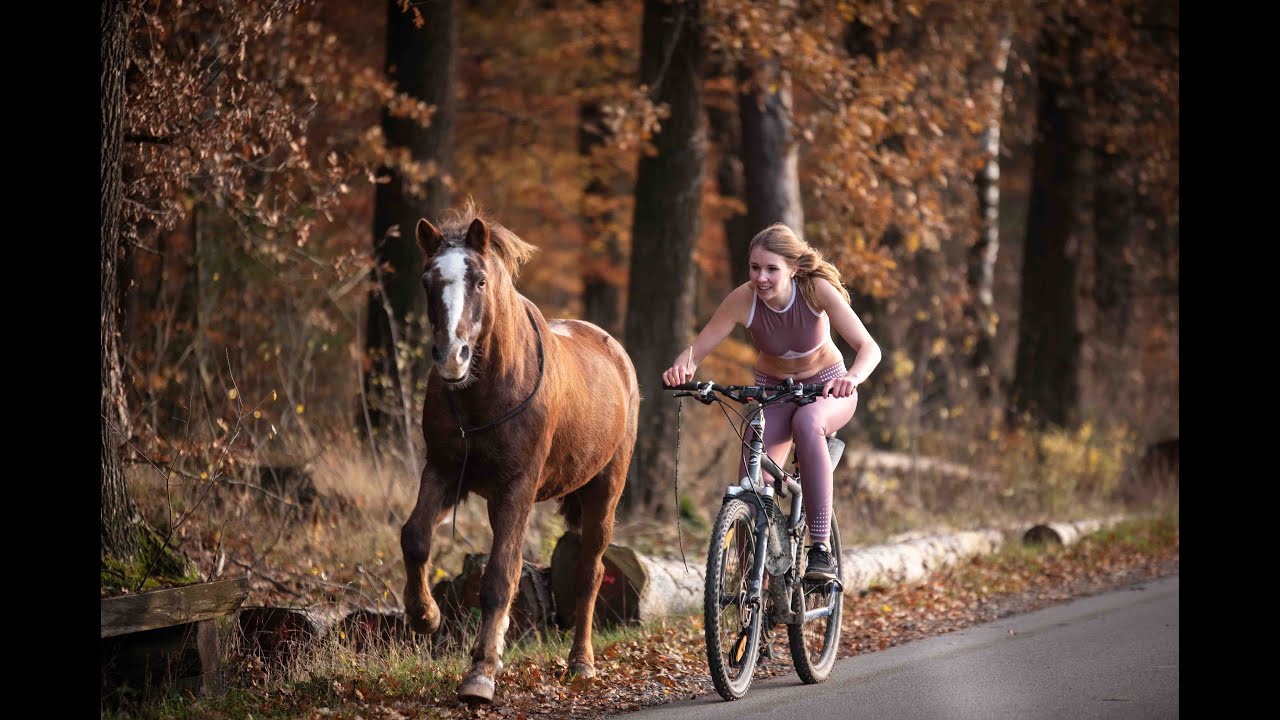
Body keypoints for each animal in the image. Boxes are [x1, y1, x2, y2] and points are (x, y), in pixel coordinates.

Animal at [401, 204, 639, 703]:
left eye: (479, 280)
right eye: (428, 280)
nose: (451, 356)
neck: (487, 390)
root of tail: (616, 353)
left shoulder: (518, 487)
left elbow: (499, 577)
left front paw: (480, 674)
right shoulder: (444, 472)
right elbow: (415, 537)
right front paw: (425, 615)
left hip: (605, 490)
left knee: (589, 573)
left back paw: (581, 663)